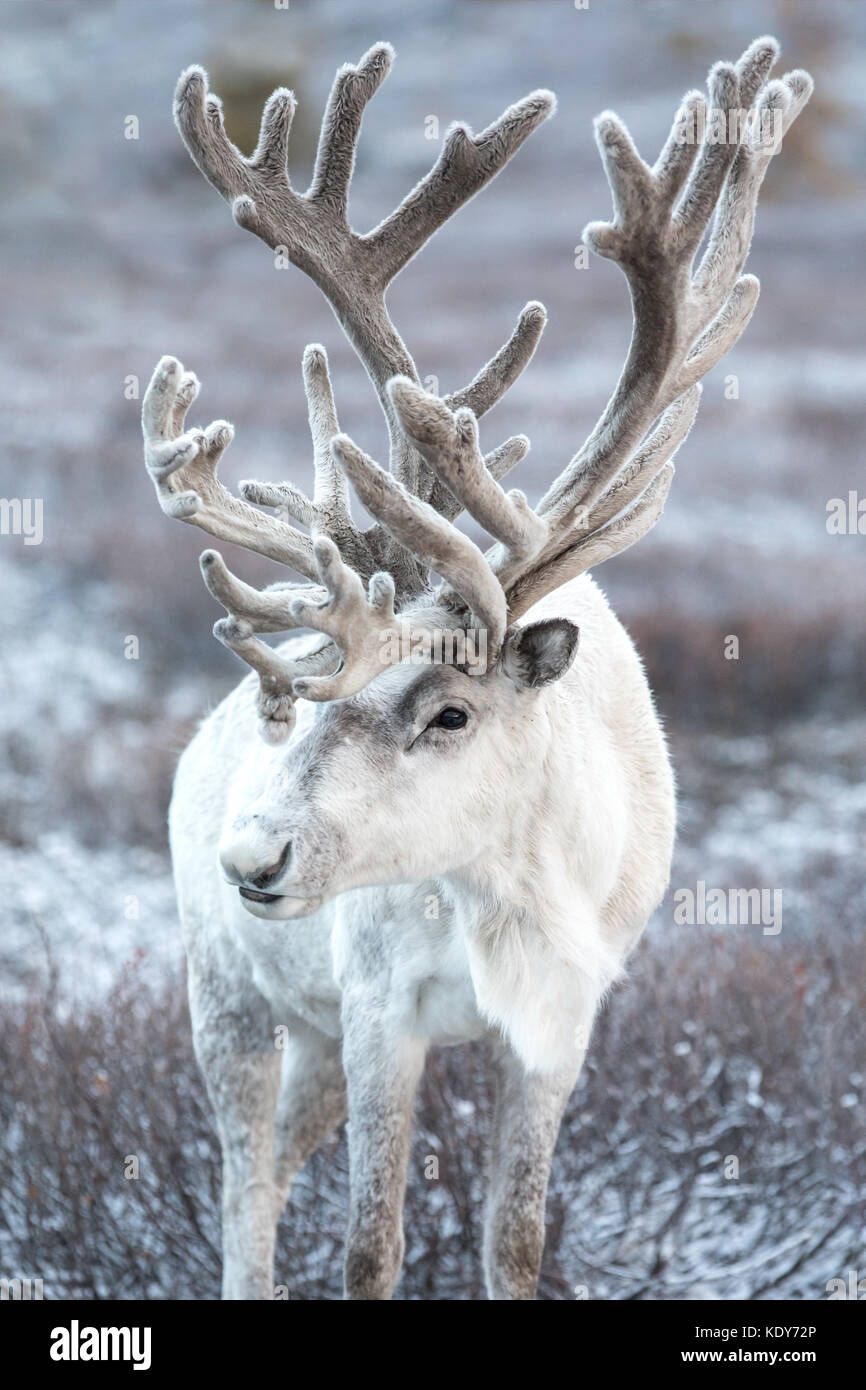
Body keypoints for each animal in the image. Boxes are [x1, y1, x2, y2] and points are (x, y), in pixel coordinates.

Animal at [142, 37, 811, 1300]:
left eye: (449, 712)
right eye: (316, 696)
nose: (254, 856)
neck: (508, 890)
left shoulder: (560, 1025)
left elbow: (514, 1240)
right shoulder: (375, 1009)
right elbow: (369, 1247)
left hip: (303, 1035)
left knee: (278, 1160)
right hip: (231, 996)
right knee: (245, 1186)